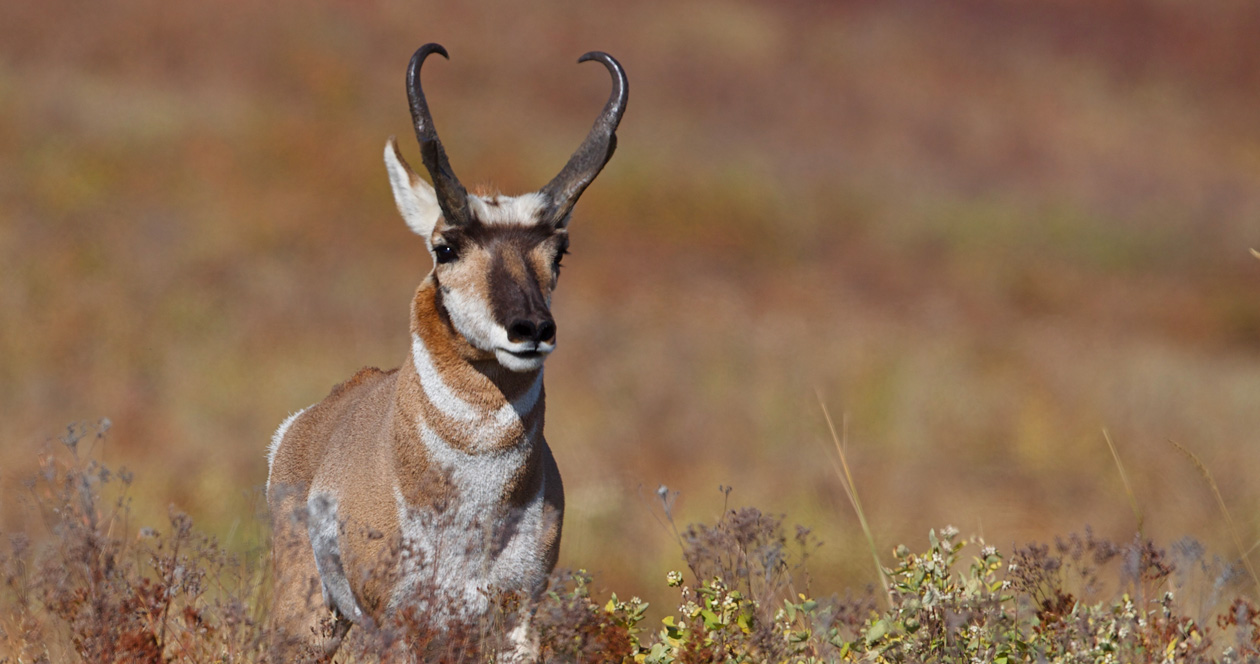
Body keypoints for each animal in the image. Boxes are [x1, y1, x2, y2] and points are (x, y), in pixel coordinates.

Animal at [266, 43, 627, 659]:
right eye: (446, 247)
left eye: (559, 252)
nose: (531, 329)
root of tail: (308, 421)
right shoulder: (399, 623)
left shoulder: (517, 621)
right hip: (308, 615)